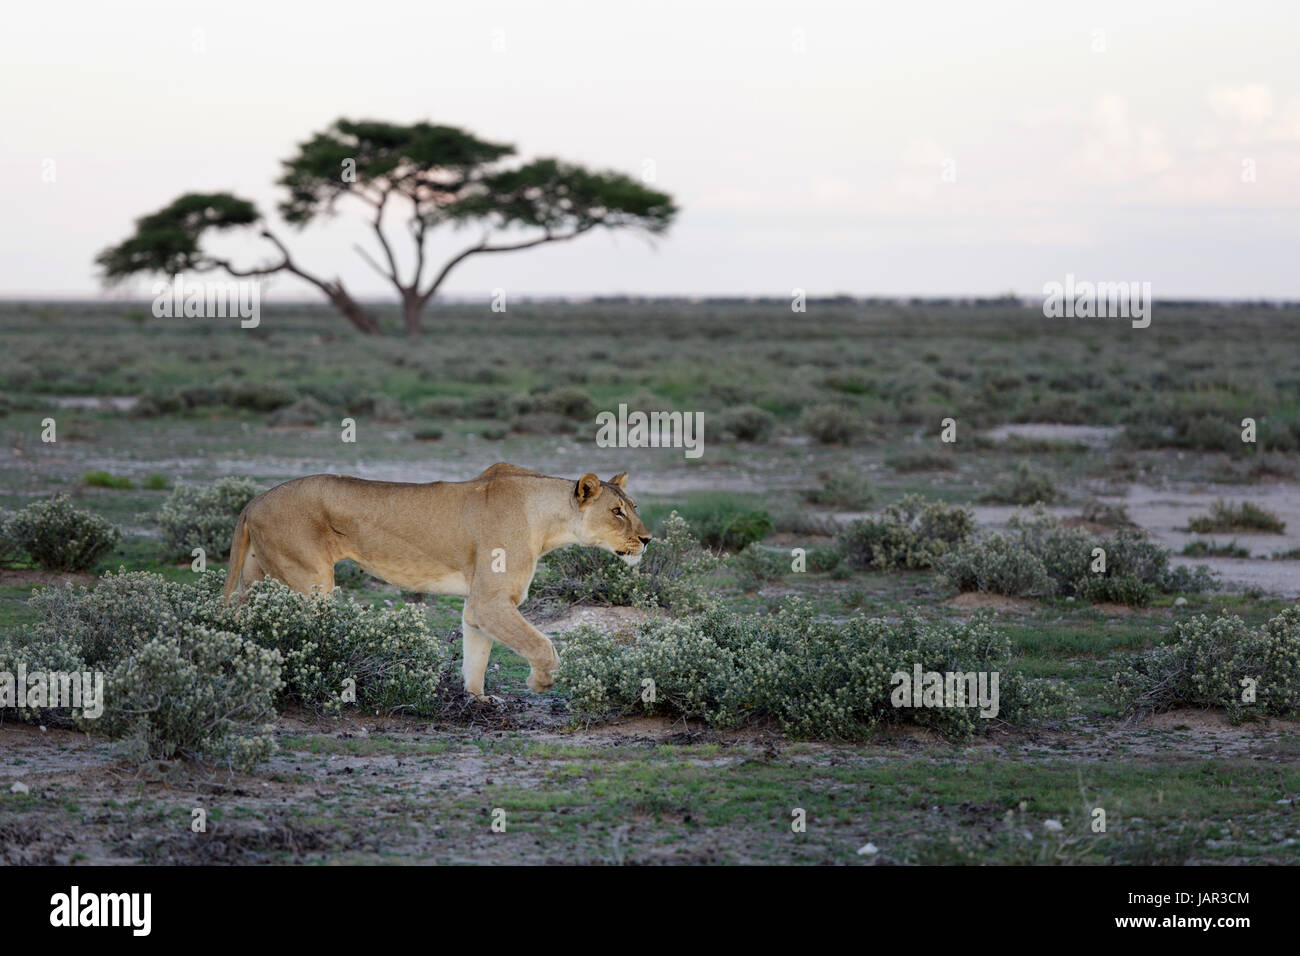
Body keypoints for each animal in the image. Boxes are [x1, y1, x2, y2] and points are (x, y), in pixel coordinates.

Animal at [221, 462, 651, 700]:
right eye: (616, 511)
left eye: (633, 507)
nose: (647, 539)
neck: (548, 522)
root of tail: (254, 500)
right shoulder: (491, 600)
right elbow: (541, 643)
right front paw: (541, 683)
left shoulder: (479, 608)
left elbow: (476, 657)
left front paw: (478, 701)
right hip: (311, 581)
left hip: (258, 579)